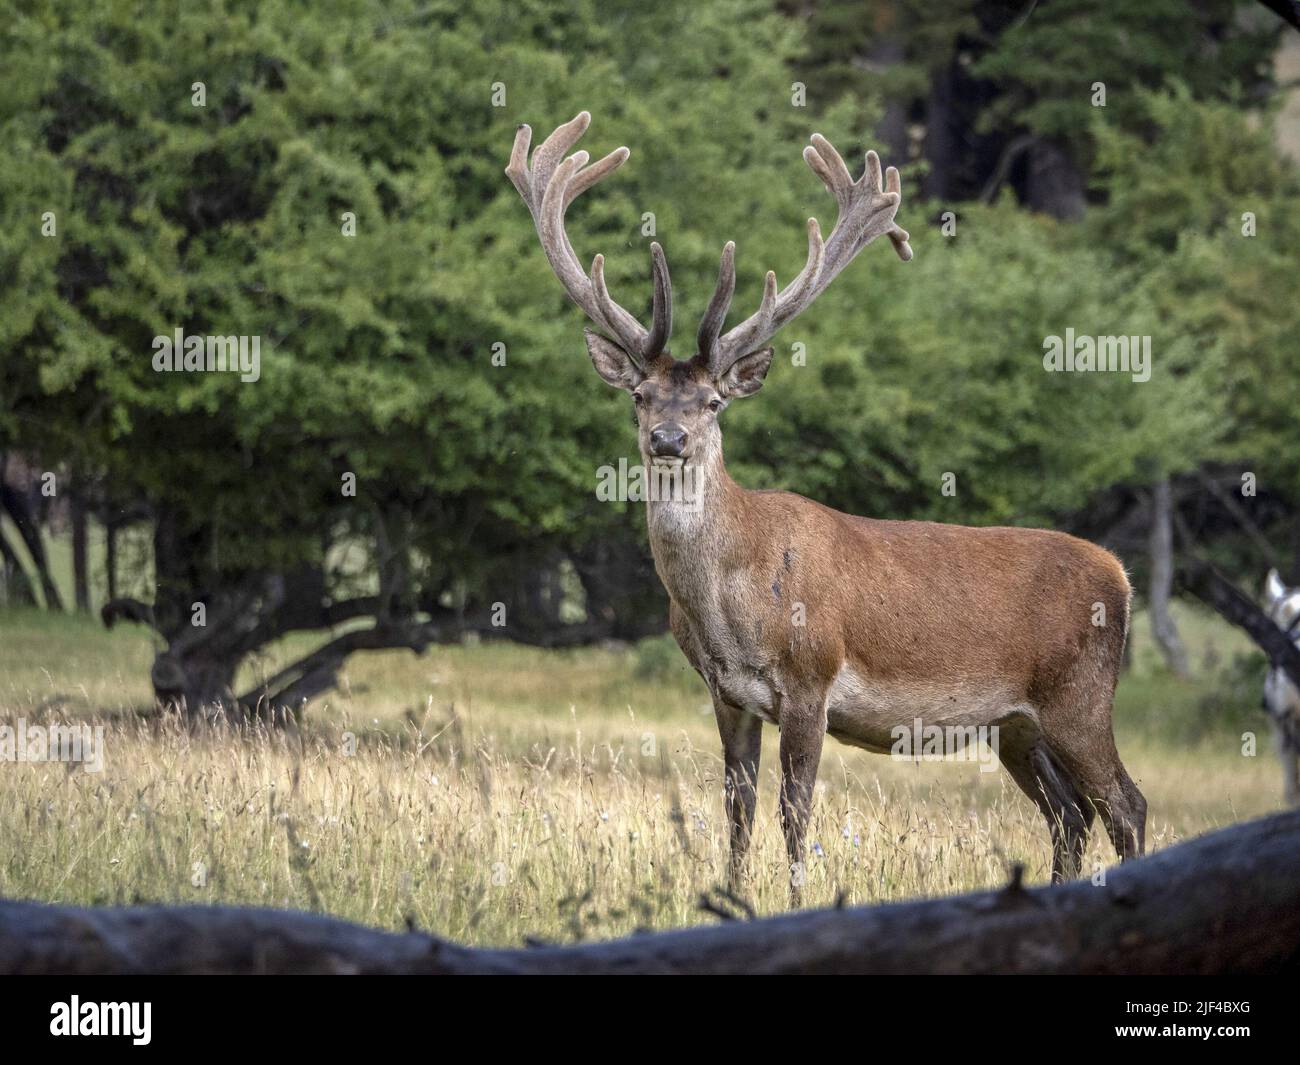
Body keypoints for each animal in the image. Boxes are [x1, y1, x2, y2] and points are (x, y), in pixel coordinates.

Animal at [507, 112, 1146, 900]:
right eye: (640, 395)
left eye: (713, 401)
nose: (668, 439)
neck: (730, 603)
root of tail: (1120, 575)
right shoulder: (727, 694)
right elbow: (738, 809)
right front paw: (731, 896)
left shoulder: (811, 679)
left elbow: (795, 813)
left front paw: (796, 899)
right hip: (1017, 724)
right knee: (1071, 816)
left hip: (1079, 697)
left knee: (1125, 805)